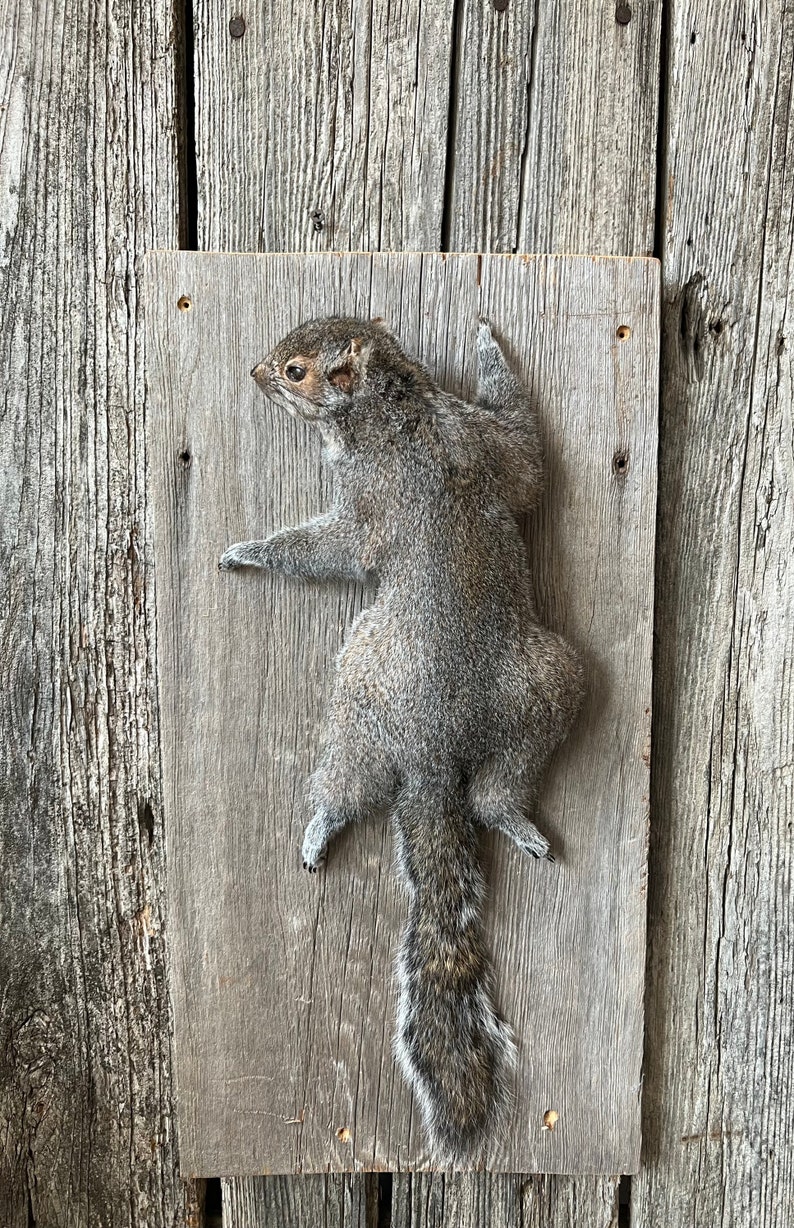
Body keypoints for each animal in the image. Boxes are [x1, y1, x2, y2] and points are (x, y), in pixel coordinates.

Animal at [219, 315, 584, 1168]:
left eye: (296, 370)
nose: (254, 374)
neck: (405, 412)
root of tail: (436, 753)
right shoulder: (484, 438)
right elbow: (526, 461)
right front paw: (488, 345)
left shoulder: (370, 498)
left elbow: (334, 548)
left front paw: (251, 550)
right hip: (546, 685)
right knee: (499, 787)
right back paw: (513, 816)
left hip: (359, 685)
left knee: (350, 778)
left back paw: (322, 824)